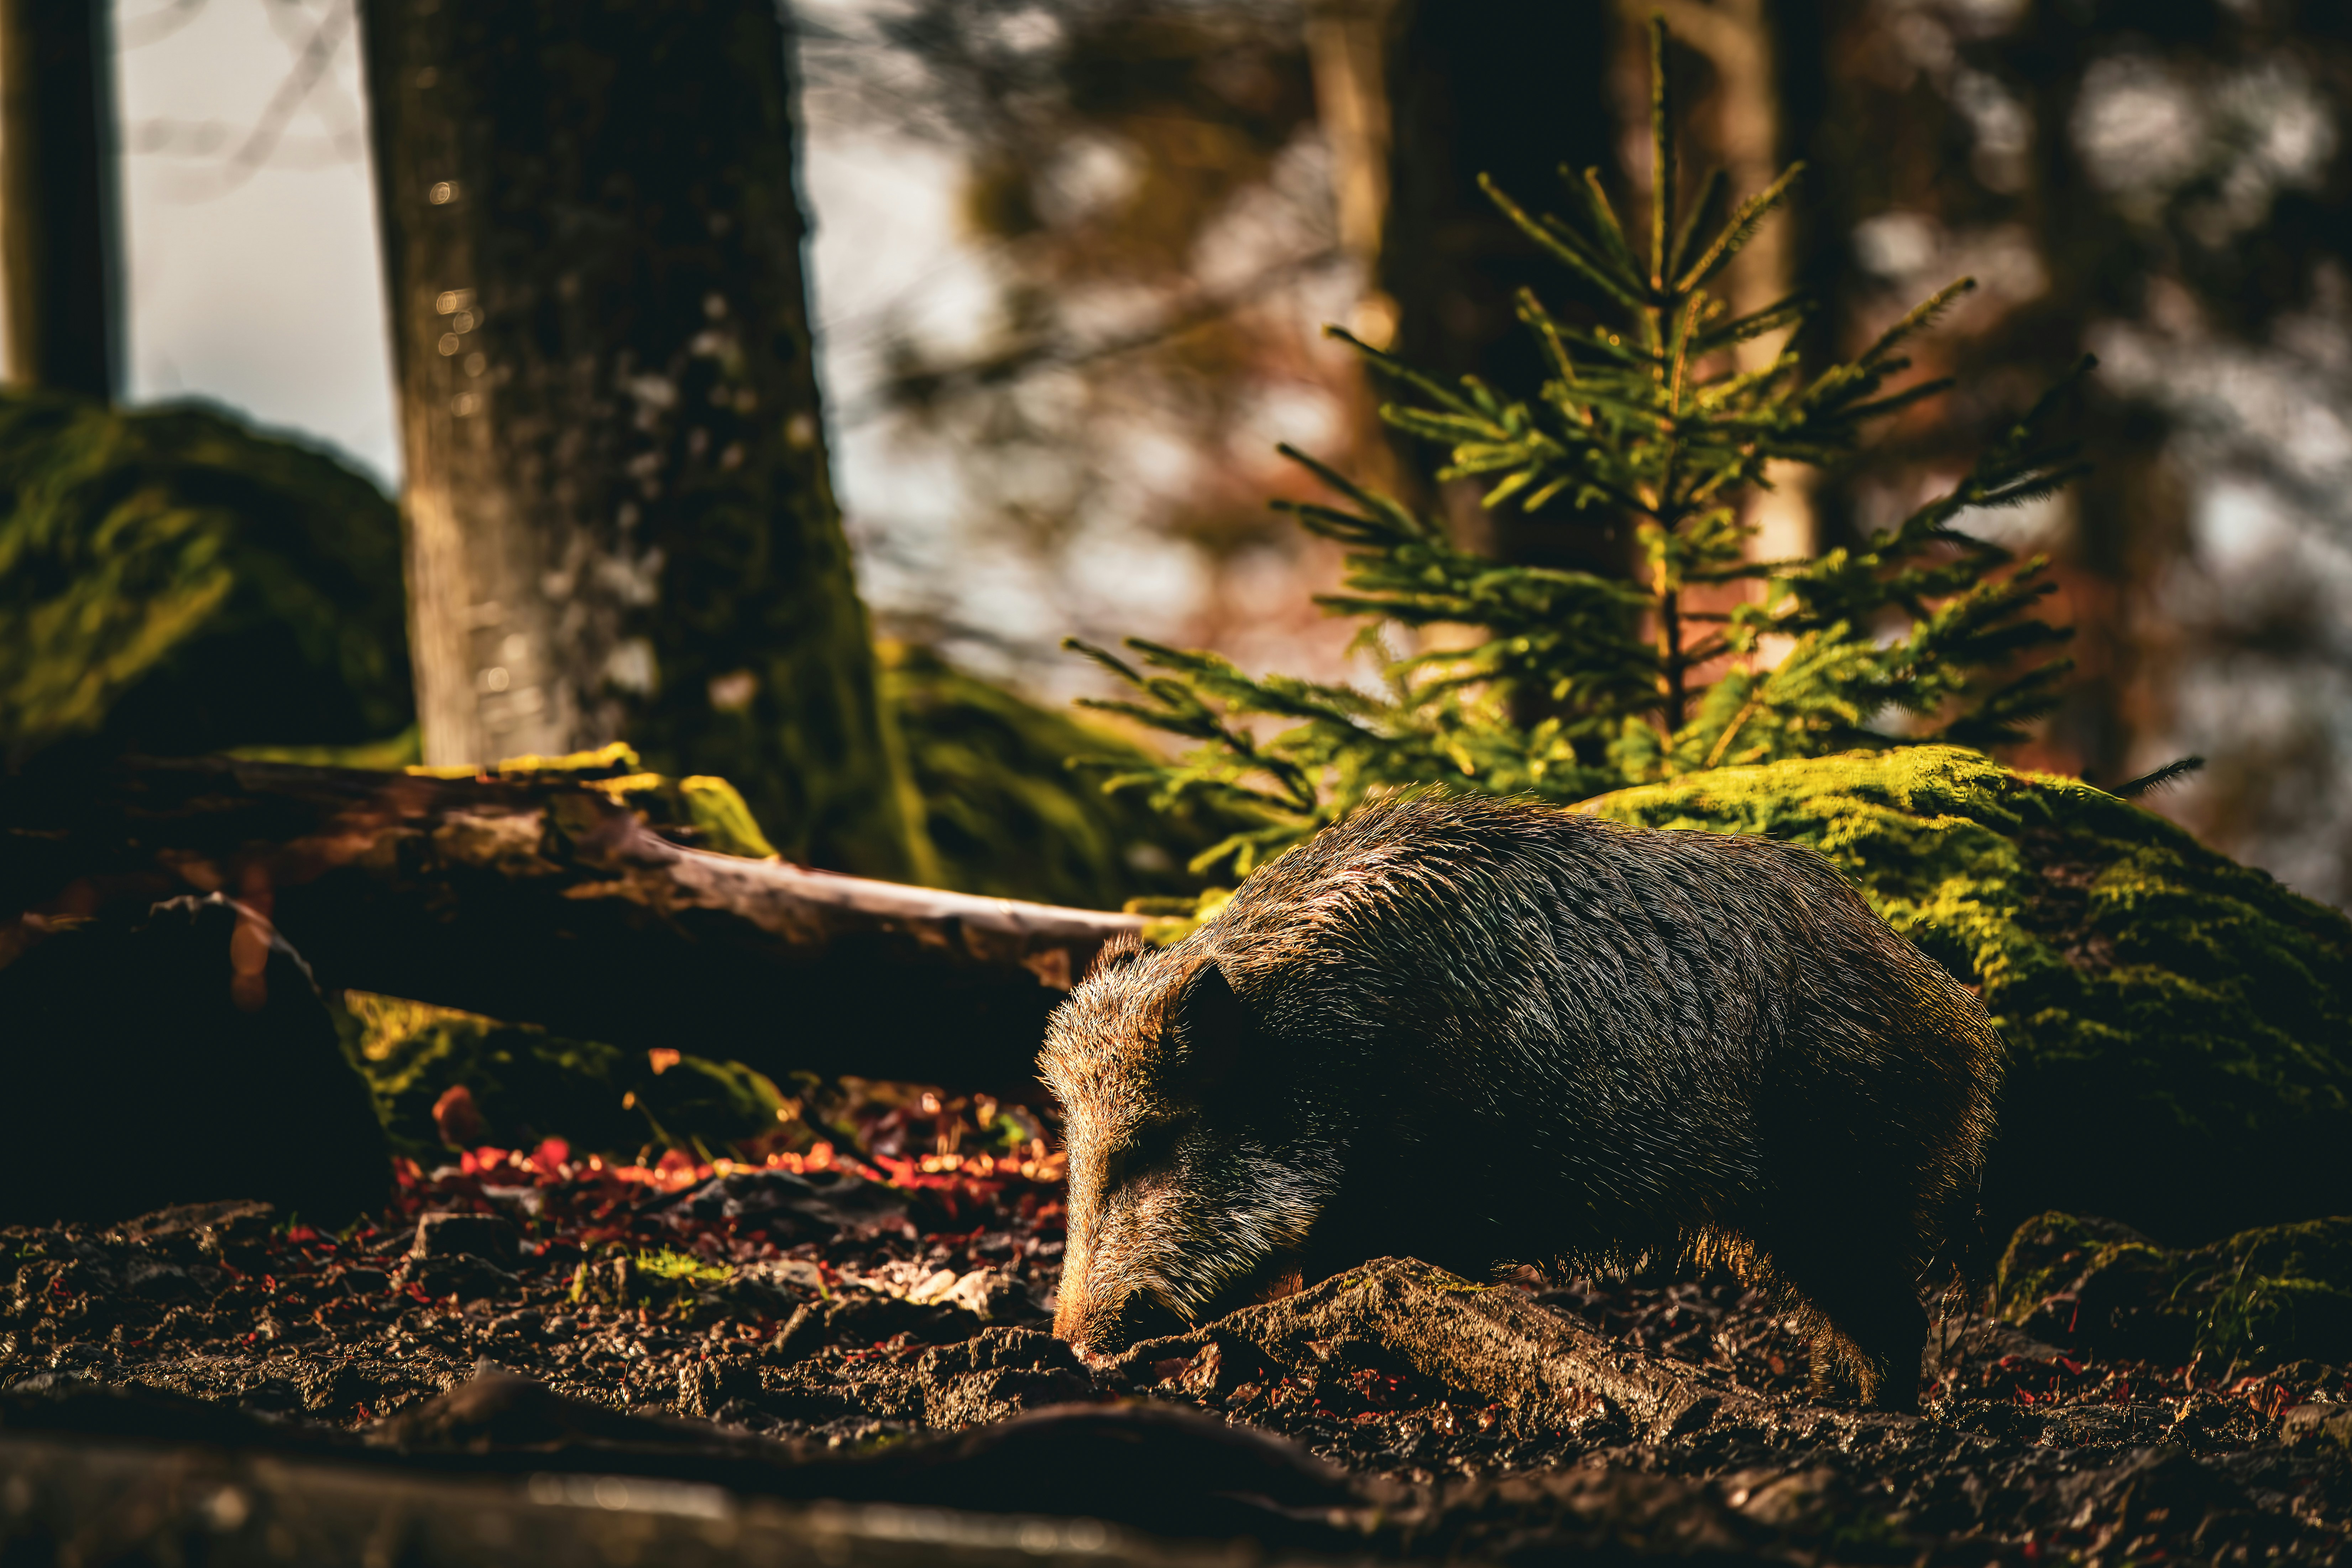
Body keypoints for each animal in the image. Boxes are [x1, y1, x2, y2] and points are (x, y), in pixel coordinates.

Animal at [1038, 791, 2002, 1410]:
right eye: (1075, 1153)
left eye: (1153, 1145)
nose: (1069, 1338)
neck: (1327, 1055)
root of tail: (1964, 1024)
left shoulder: (1428, 1195)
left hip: (1849, 1189)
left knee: (1899, 1322)